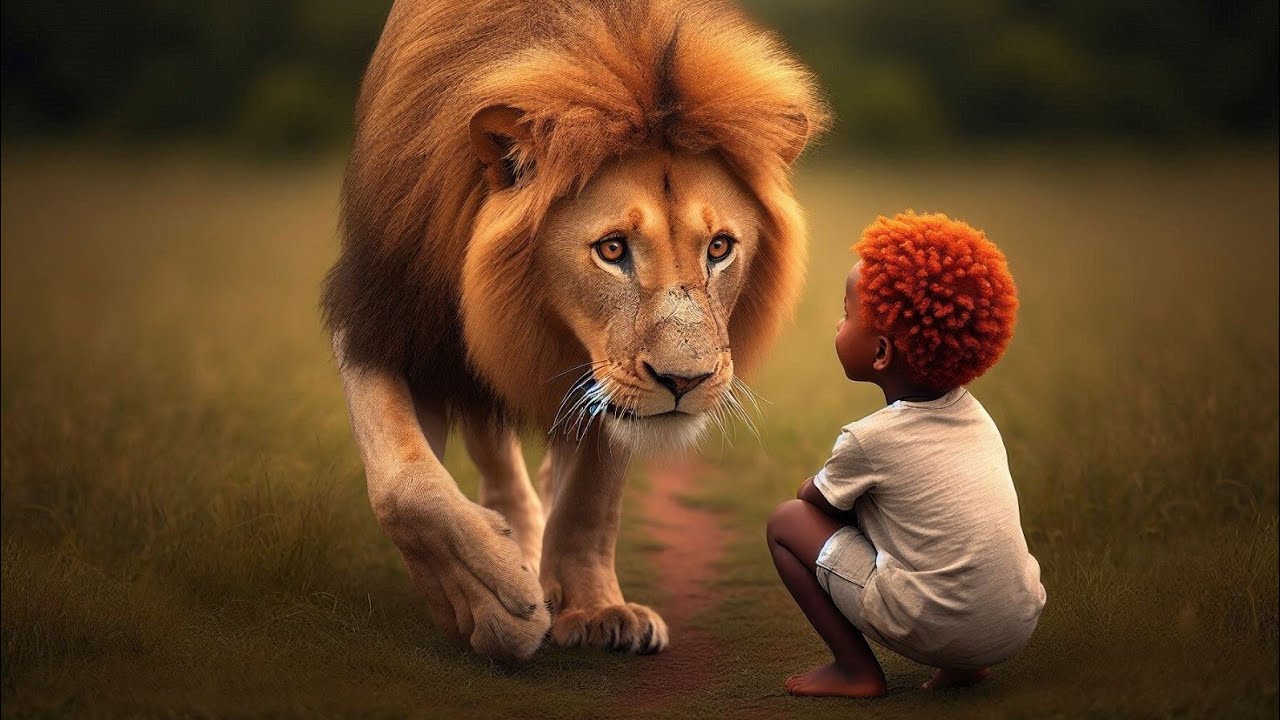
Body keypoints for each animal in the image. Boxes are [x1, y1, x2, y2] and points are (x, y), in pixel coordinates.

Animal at [322, 0, 829, 662]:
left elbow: (591, 493)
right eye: (612, 249)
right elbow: (404, 482)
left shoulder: (610, 382)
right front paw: (491, 601)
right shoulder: (381, 316)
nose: (685, 382)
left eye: (719, 248)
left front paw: (594, 609)